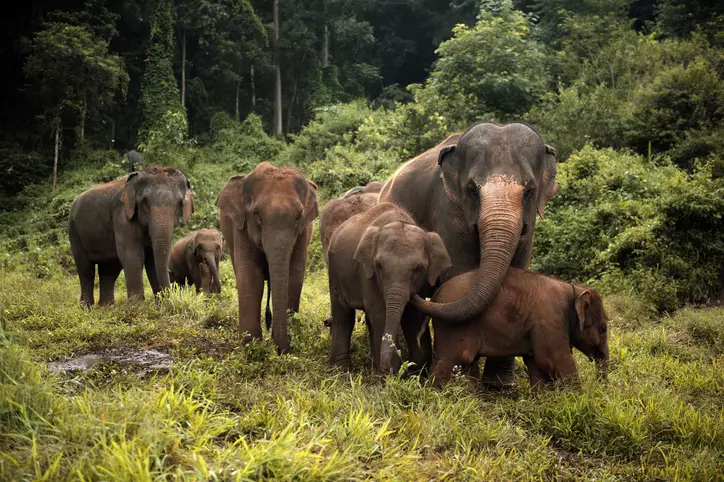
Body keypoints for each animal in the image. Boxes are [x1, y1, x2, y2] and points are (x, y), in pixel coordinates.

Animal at [67, 164, 192, 304]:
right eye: (144, 203)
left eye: (179, 204)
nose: (170, 299)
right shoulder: (122, 215)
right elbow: (133, 255)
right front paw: (137, 306)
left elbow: (151, 260)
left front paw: (159, 304)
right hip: (74, 231)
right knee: (85, 269)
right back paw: (86, 306)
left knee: (109, 269)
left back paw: (106, 306)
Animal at [215, 162, 316, 354]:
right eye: (256, 214)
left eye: (299, 216)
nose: (281, 349)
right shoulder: (242, 228)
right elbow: (251, 276)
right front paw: (251, 348)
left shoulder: (303, 231)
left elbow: (294, 274)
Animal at [326, 201, 450, 374]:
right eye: (379, 265)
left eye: (419, 268)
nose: (388, 366)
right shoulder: (367, 271)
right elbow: (380, 313)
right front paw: (390, 372)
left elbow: (413, 316)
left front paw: (415, 371)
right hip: (334, 270)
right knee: (344, 316)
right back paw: (342, 371)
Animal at [378, 122, 560, 390]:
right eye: (472, 190)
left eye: (529, 190)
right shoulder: (449, 210)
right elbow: (460, 274)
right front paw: (463, 385)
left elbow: (516, 272)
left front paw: (500, 388)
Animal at [424, 270, 612, 390]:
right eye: (603, 329)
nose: (602, 390)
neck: (574, 289)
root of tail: (435, 296)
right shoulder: (549, 321)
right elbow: (555, 361)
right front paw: (580, 399)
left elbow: (536, 364)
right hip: (453, 328)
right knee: (455, 359)